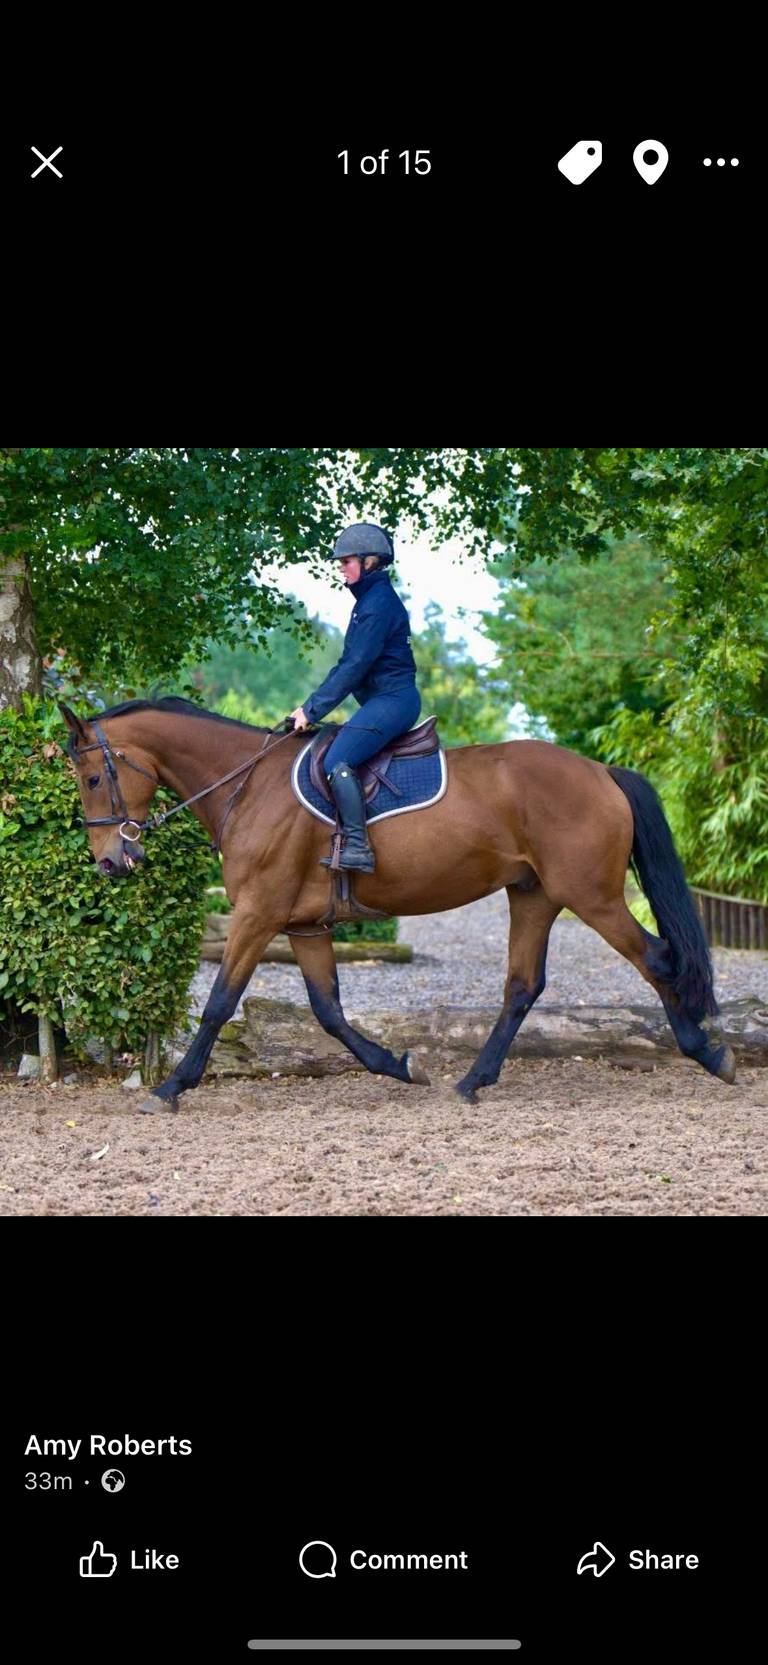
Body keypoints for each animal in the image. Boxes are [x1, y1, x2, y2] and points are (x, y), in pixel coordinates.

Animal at [58, 696, 735, 1113]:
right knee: (523, 986)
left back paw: (709, 1053)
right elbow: (328, 1011)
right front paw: (399, 1065)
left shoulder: (257, 914)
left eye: (91, 779)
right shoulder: (303, 926)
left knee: (657, 958)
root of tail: (599, 771)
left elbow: (221, 1001)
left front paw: (171, 1086)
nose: (110, 863)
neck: (247, 785)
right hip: (534, 896)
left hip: (589, 895)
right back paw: (472, 1081)